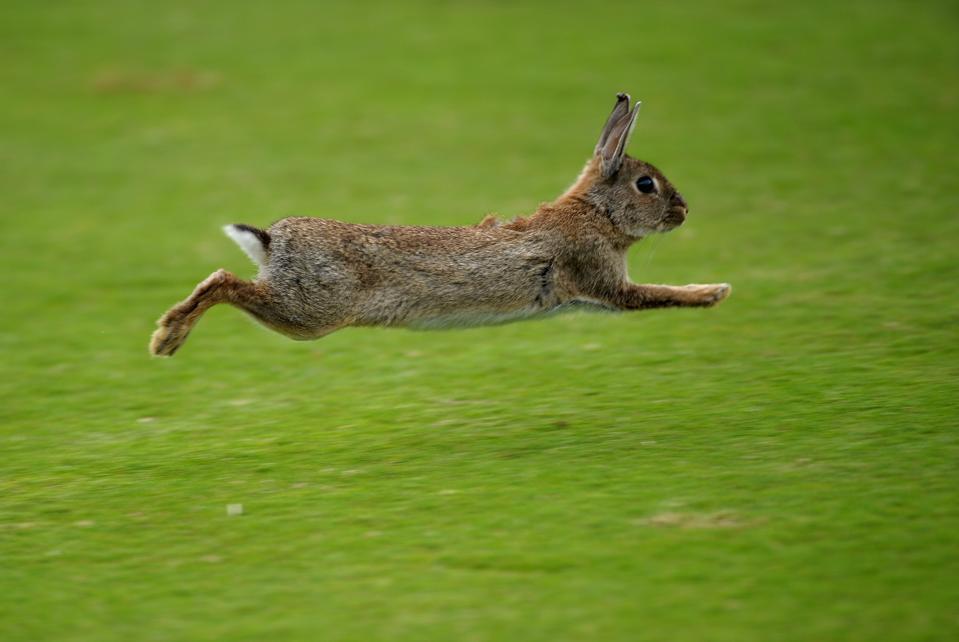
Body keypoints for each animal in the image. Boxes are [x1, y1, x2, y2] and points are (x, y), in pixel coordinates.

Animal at [149, 92, 730, 357]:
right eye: (646, 185)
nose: (684, 212)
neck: (596, 213)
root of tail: (273, 243)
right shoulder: (603, 281)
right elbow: (658, 295)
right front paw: (715, 293)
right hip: (311, 312)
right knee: (226, 282)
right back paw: (167, 338)